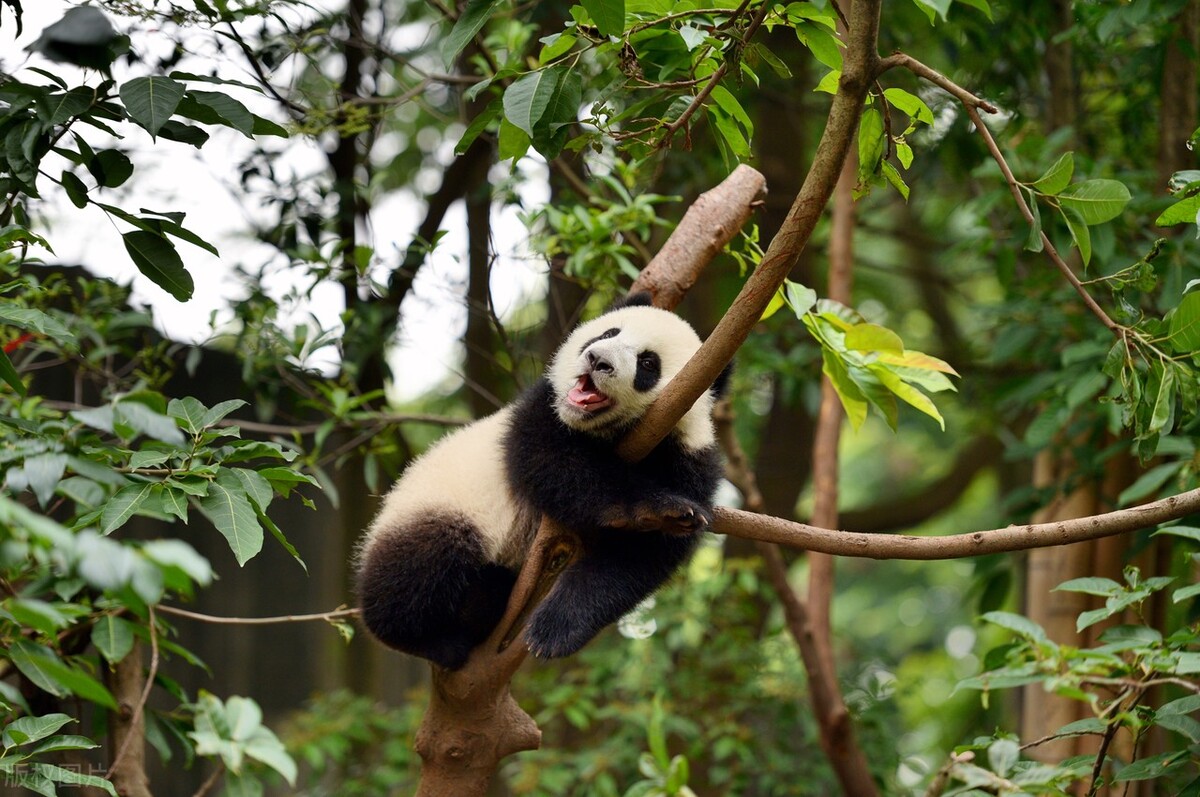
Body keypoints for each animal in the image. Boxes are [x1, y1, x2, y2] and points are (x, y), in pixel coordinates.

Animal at [355, 292, 727, 670]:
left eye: (648, 364)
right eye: (608, 332)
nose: (598, 360)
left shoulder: (688, 458)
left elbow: (637, 556)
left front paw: (554, 632)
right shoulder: (541, 409)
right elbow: (555, 465)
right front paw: (658, 508)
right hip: (437, 505)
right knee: (423, 561)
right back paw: (431, 639)